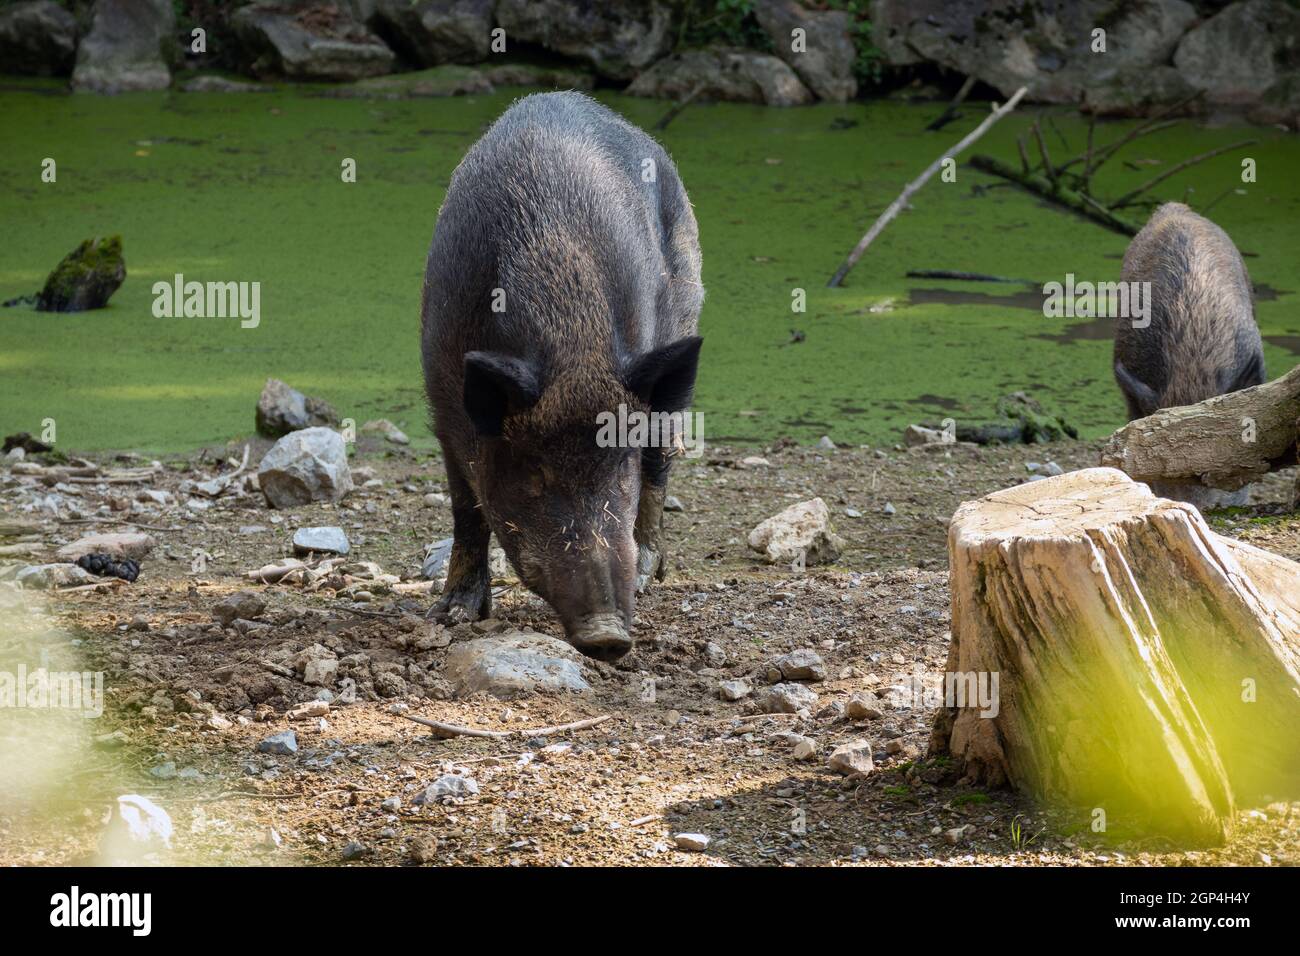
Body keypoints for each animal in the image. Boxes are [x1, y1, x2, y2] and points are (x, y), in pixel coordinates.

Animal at [420, 92, 704, 660]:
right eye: (536, 473)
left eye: (618, 470)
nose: (609, 636)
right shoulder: (442, 406)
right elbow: (466, 510)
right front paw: (451, 616)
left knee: (663, 462)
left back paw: (647, 573)